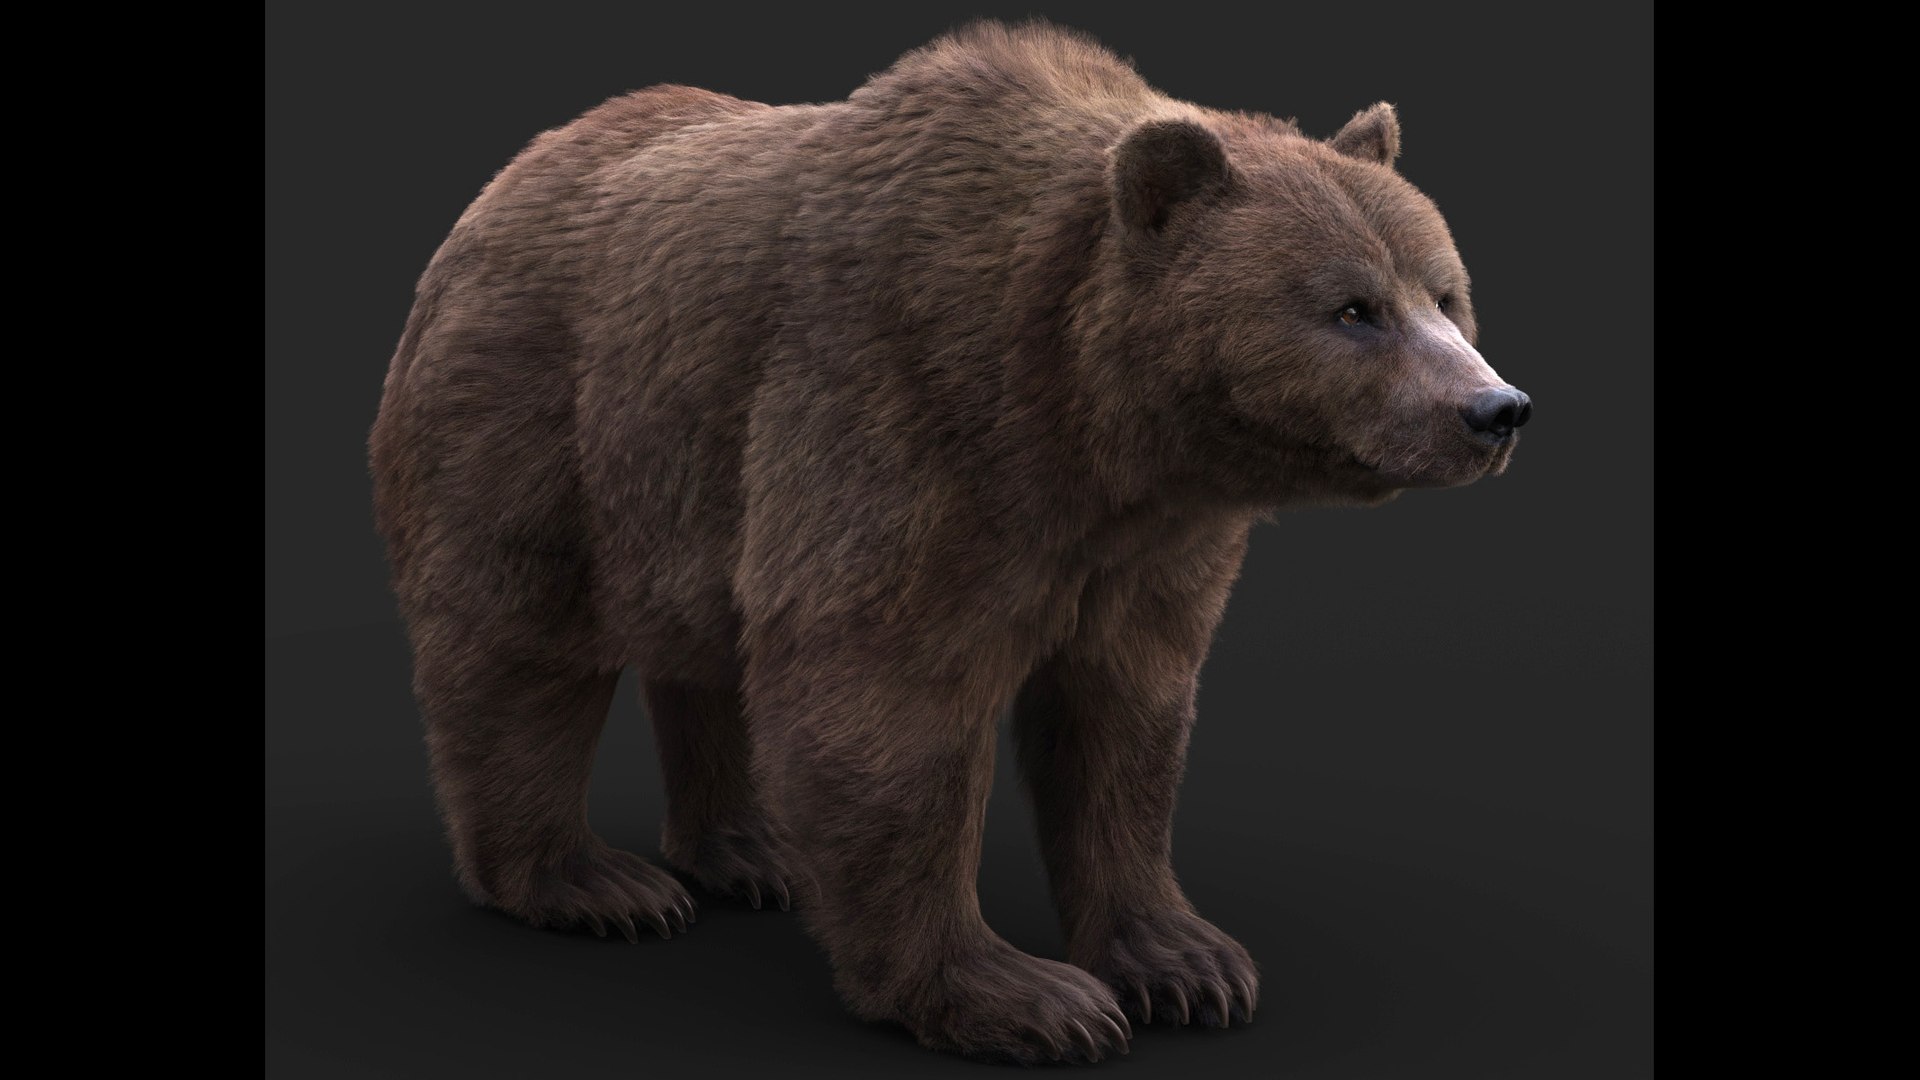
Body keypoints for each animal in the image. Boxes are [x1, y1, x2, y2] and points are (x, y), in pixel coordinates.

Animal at [369, 20, 1529, 1064]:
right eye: (1352, 309)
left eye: (1446, 292)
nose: (1494, 409)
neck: (1090, 427)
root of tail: (503, 185)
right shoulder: (903, 415)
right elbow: (887, 700)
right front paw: (1028, 998)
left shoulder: (1149, 547)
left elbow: (1124, 721)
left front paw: (1189, 965)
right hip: (542, 412)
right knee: (519, 646)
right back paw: (595, 883)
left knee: (703, 652)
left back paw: (754, 854)